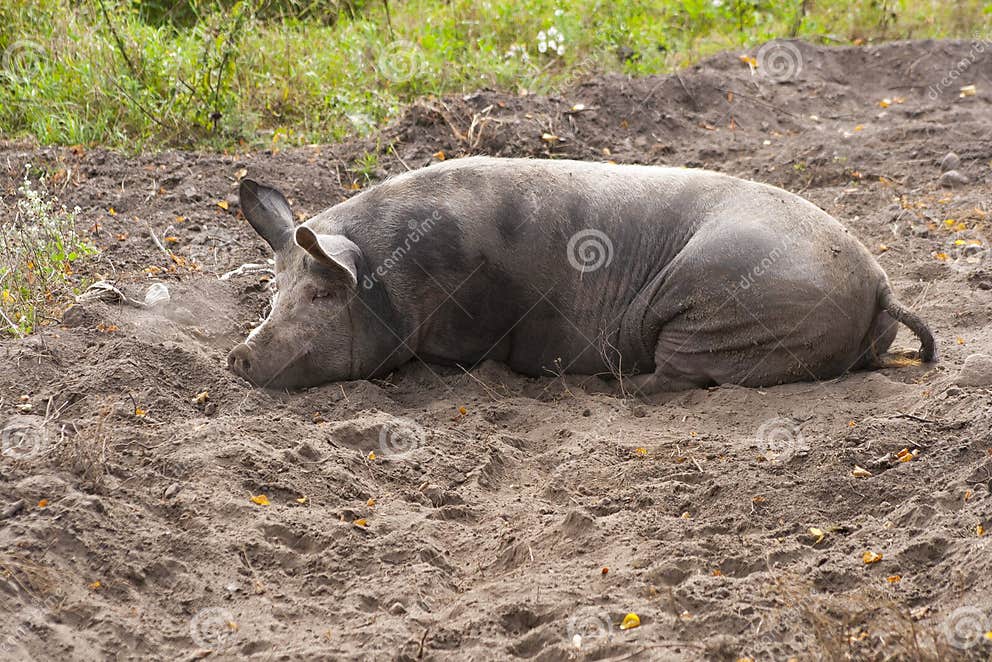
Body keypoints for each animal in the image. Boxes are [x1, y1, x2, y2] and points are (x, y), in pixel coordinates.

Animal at [227, 156, 935, 392]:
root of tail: (879, 285)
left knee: (678, 379)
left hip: (721, 312)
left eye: (320, 292)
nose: (238, 355)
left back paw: (613, 390)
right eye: (274, 291)